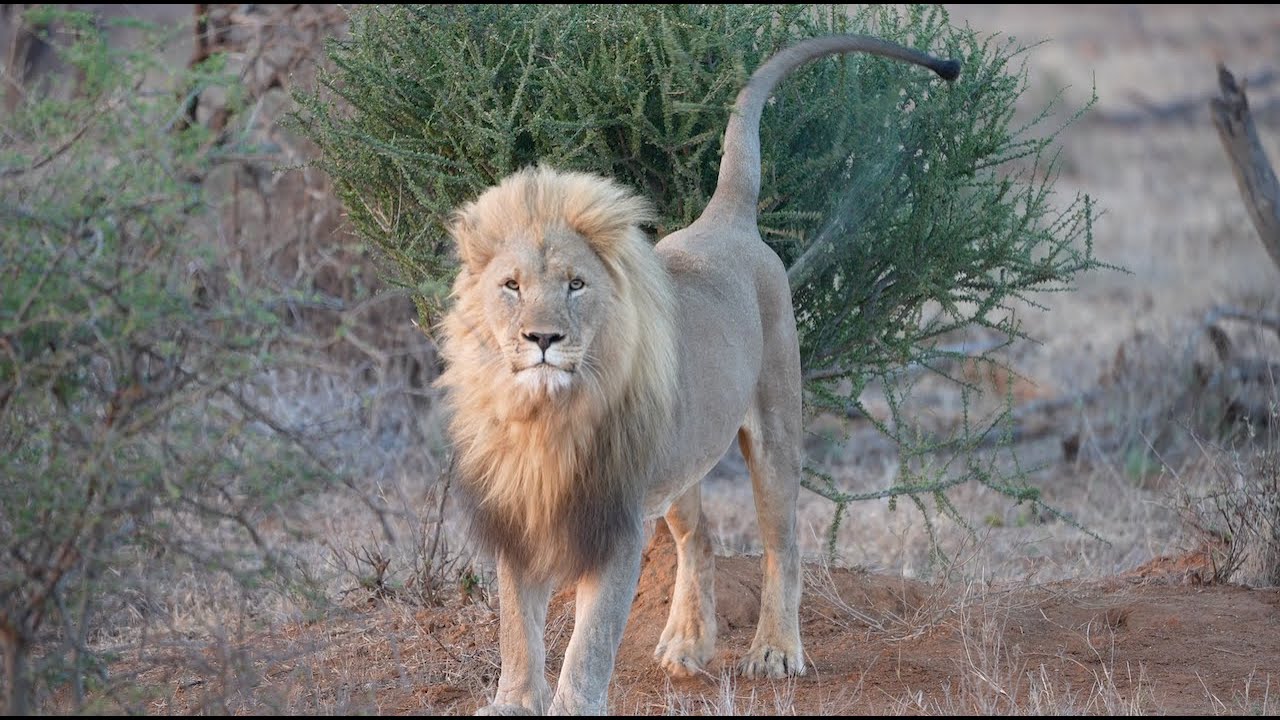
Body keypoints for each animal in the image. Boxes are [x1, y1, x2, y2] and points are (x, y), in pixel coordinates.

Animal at [436, 35, 960, 715]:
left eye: (576, 285)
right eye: (511, 286)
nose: (544, 339)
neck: (549, 415)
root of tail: (725, 221)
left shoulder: (618, 526)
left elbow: (590, 640)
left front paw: (573, 703)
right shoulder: (519, 511)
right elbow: (515, 628)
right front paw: (513, 701)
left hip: (774, 431)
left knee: (783, 544)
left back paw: (775, 651)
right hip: (680, 462)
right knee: (699, 539)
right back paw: (686, 643)